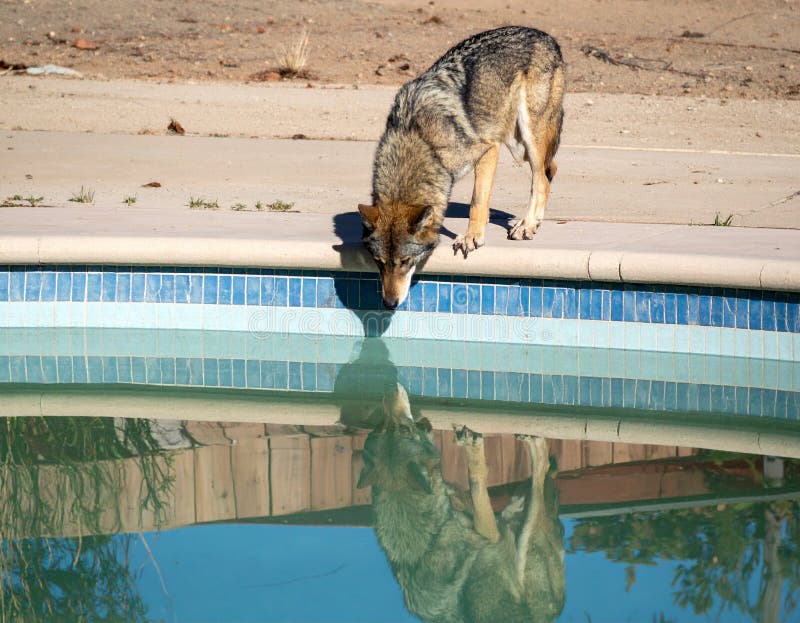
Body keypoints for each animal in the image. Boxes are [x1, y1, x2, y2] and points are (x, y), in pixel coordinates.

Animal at [358, 26, 565, 308]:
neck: (418, 138)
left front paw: (471, 238)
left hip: (527, 139)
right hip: (516, 143)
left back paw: (527, 225)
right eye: (379, 263)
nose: (389, 303)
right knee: (550, 169)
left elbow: (477, 201)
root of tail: (546, 36)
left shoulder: (488, 148)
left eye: (405, 262)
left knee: (541, 180)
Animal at [358, 383, 565, 623]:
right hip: (529, 539)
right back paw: (536, 445)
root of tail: (553, 614)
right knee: (539, 473)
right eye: (405, 430)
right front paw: (473, 450)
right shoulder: (489, 534)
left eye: (384, 428)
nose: (390, 389)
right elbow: (476, 478)